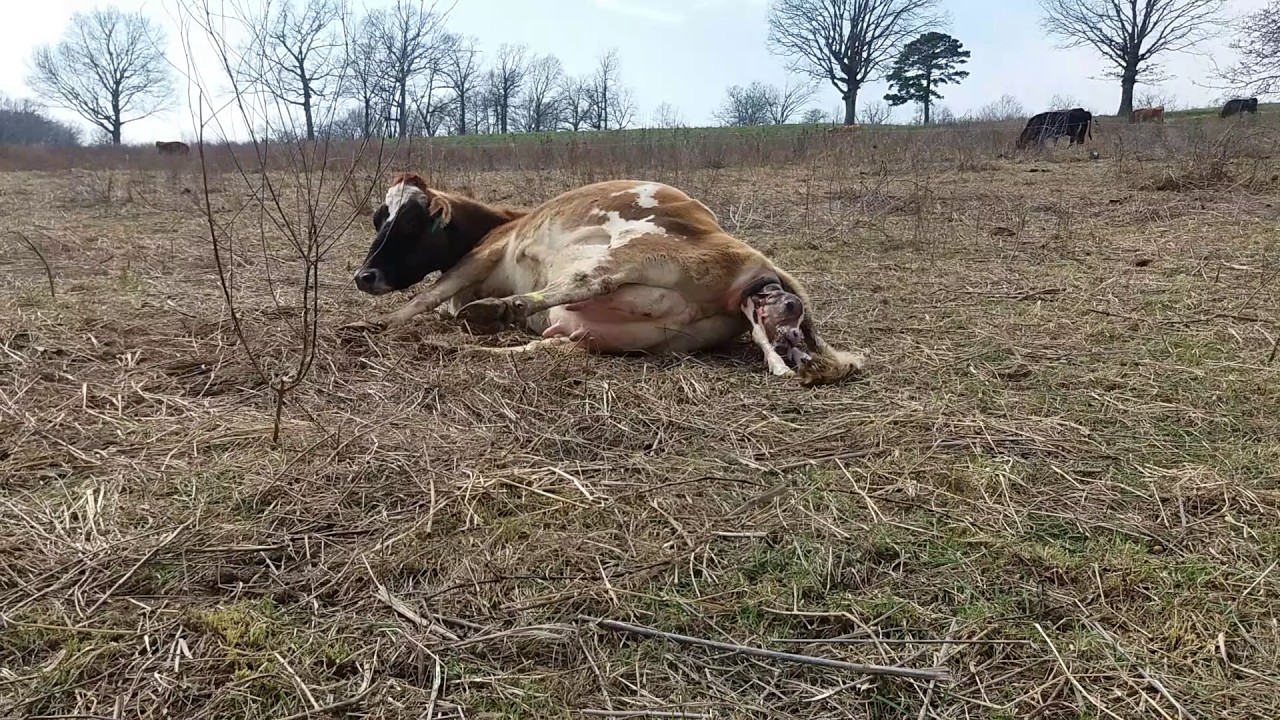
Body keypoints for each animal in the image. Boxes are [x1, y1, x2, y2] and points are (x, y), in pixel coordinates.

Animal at [344, 175, 865, 385]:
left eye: (411, 223)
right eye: (377, 218)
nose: (363, 276)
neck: (504, 219)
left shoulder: (482, 256)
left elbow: (429, 296)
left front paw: (373, 325)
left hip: (633, 254)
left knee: (584, 282)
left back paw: (492, 313)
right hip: (620, 335)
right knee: (545, 345)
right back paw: (445, 346)